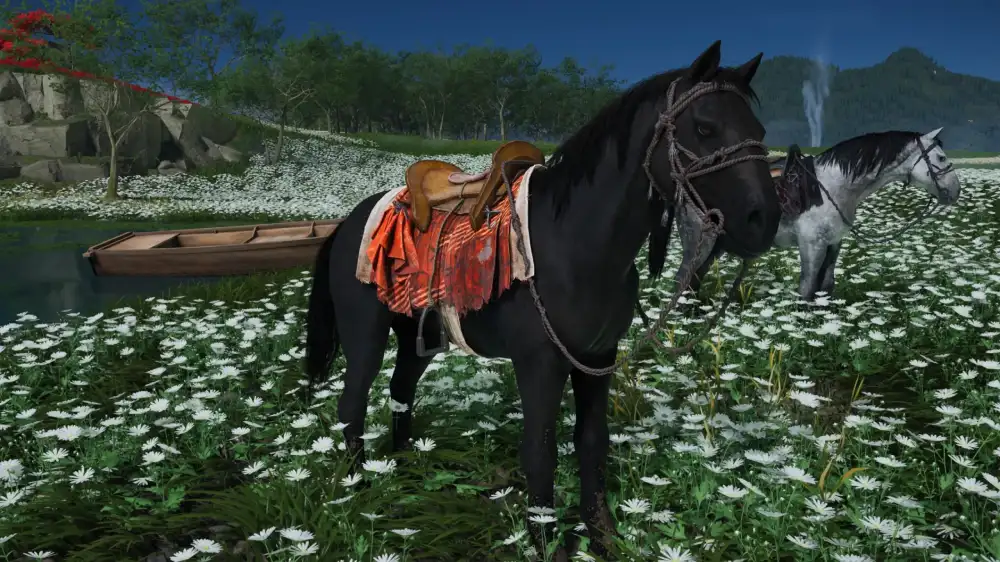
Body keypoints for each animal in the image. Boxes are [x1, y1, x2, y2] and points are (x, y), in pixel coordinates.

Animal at [303, 40, 782, 559]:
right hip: (365, 335)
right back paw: (359, 491)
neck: (573, 241)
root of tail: (347, 223)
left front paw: (601, 534)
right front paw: (546, 540)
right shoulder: (540, 364)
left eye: (759, 131)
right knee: (352, 404)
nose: (765, 220)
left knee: (401, 390)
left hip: (419, 336)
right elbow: (540, 451)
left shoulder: (598, 358)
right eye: (705, 127)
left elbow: (592, 442)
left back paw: (407, 469)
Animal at [672, 128, 962, 301]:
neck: (833, 185)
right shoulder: (812, 245)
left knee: (694, 279)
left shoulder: (833, 243)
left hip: (717, 244)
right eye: (940, 157)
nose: (955, 192)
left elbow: (826, 286)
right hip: (700, 242)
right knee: (683, 278)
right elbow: (807, 289)